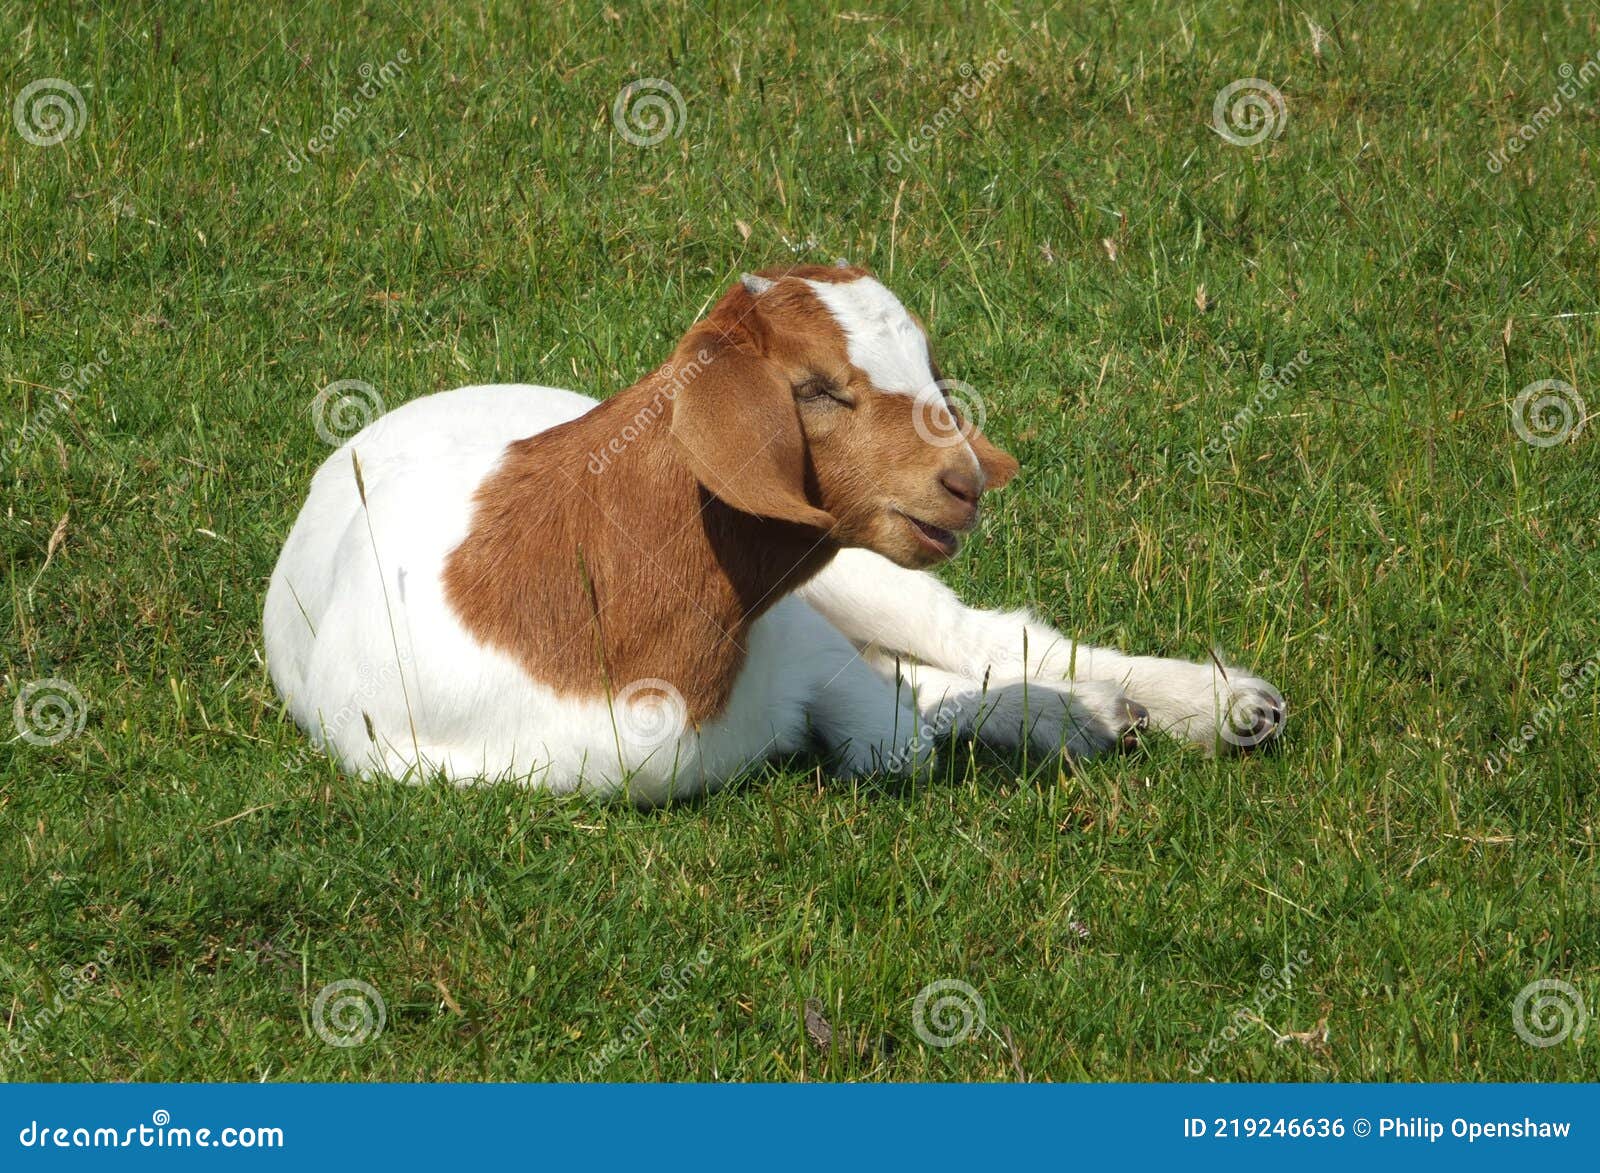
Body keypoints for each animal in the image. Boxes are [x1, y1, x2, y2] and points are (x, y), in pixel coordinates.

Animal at [263, 262, 1284, 803]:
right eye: (817, 388)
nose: (961, 483)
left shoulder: (801, 628)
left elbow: (895, 729)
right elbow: (901, 728)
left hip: (861, 579)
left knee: (986, 636)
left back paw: (1217, 703)